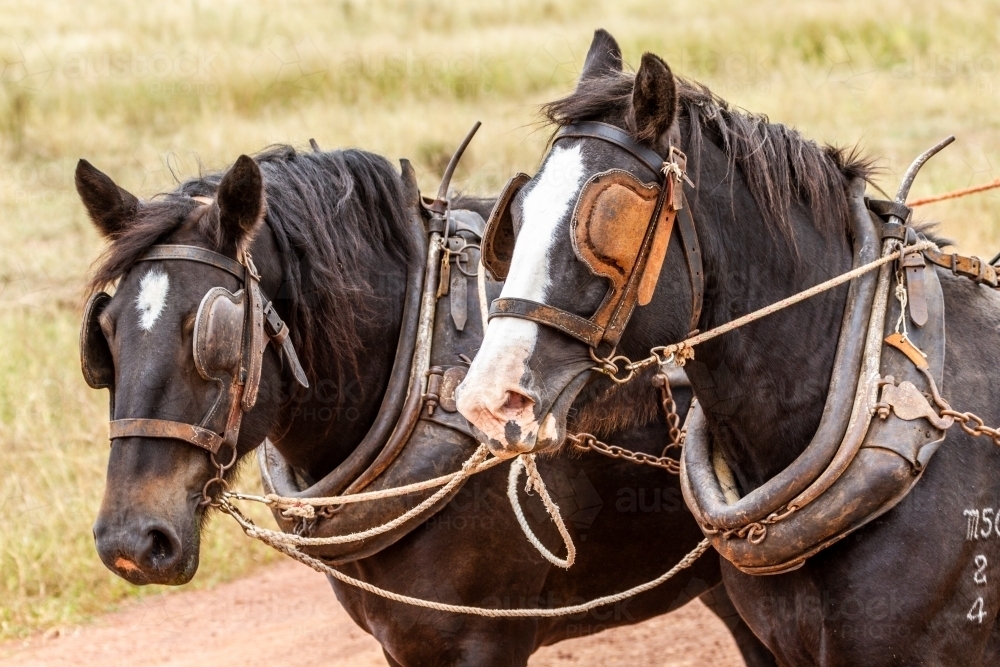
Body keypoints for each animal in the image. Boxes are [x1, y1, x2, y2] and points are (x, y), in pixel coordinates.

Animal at [75, 144, 776, 666]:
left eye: (212, 334)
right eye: (104, 331)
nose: (132, 540)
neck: (421, 373)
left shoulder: (483, 644)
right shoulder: (402, 644)